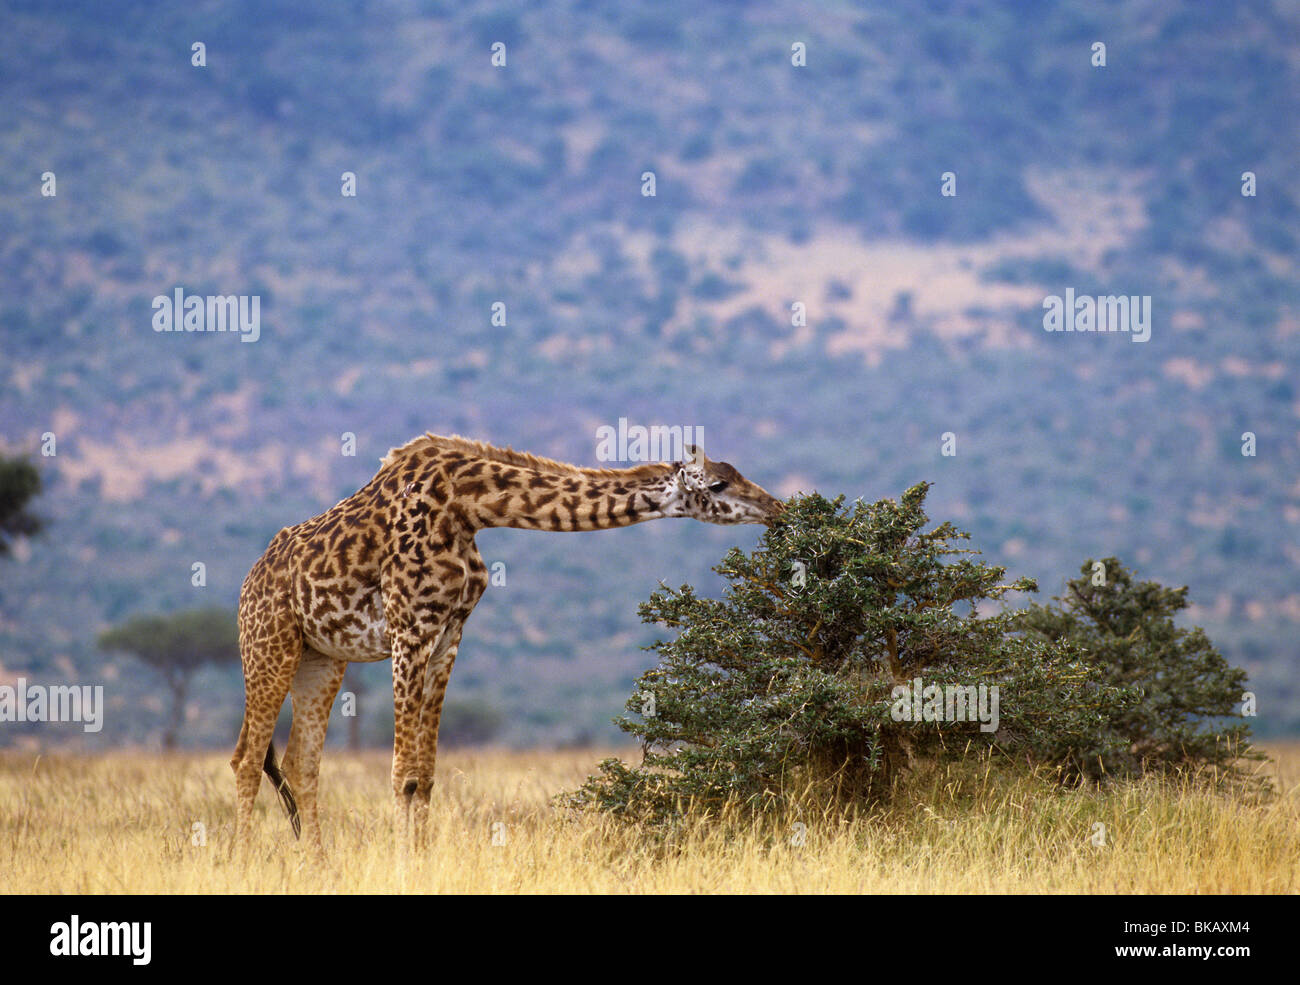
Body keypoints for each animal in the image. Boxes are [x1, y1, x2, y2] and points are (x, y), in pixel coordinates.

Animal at [230, 436, 780, 852]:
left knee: (301, 763)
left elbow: (426, 774)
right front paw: (404, 867)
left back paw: (317, 866)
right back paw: (245, 861)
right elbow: (403, 772)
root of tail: (250, 579)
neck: (469, 506)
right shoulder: (410, 629)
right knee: (246, 758)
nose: (776, 507)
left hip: (322, 659)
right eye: (718, 483)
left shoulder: (449, 635)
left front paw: (422, 863)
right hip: (269, 646)